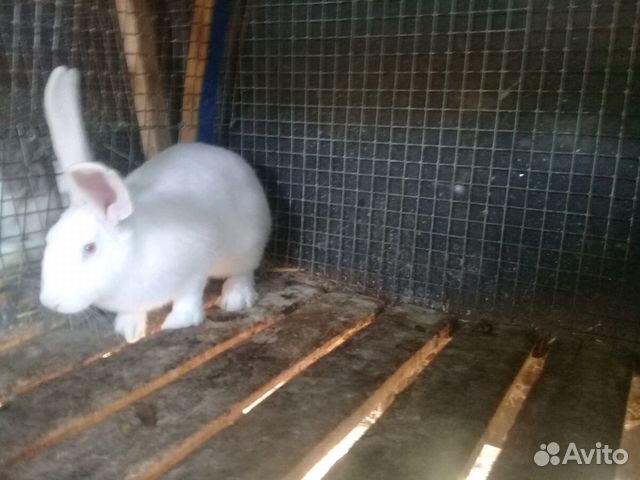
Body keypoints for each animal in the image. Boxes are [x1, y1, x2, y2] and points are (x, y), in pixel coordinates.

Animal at [39, 66, 271, 343]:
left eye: (89, 248)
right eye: (49, 238)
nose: (50, 302)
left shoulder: (195, 263)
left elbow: (188, 295)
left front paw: (179, 321)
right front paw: (129, 328)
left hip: (246, 247)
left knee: (243, 271)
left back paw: (236, 297)